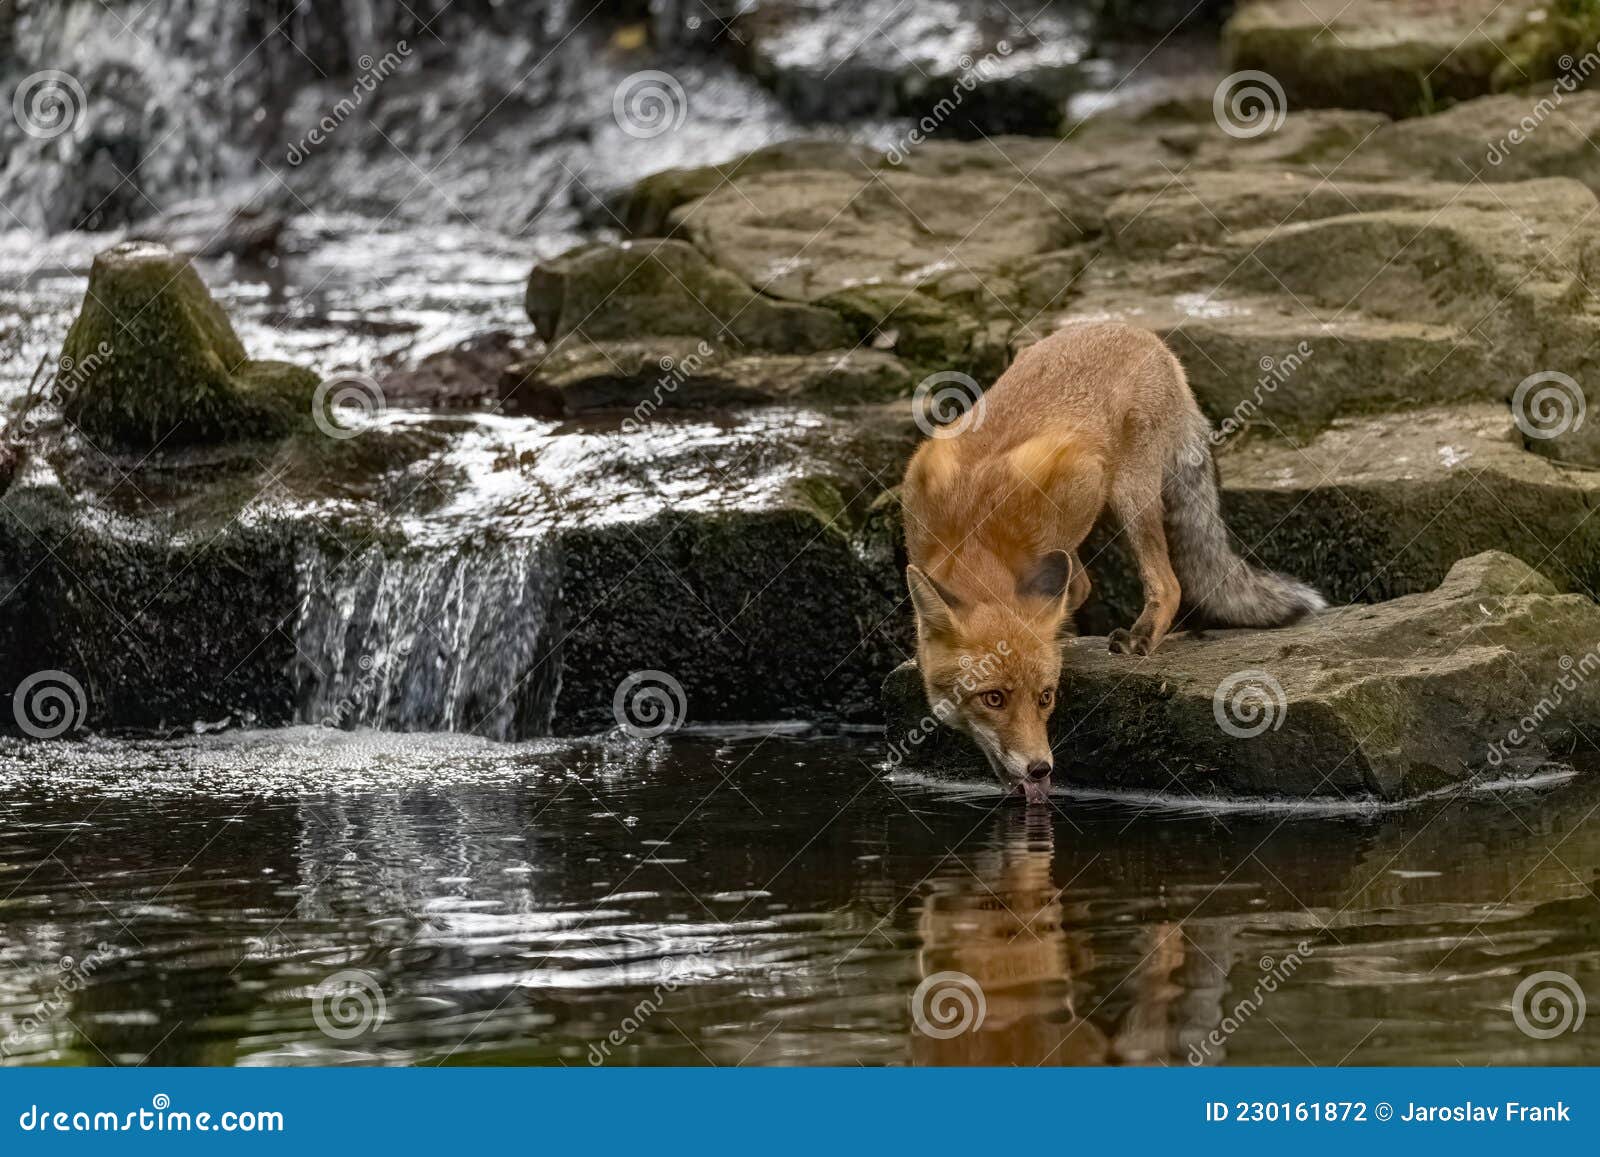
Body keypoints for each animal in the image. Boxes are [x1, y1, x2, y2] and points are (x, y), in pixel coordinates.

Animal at [901, 321, 1325, 804]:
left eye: (1046, 697)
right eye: (993, 699)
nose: (1041, 768)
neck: (974, 537)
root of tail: (1146, 336)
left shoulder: (1077, 487)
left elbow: (1079, 589)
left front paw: (1064, 635)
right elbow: (1072, 590)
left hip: (1130, 494)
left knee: (1169, 583)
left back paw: (1142, 634)